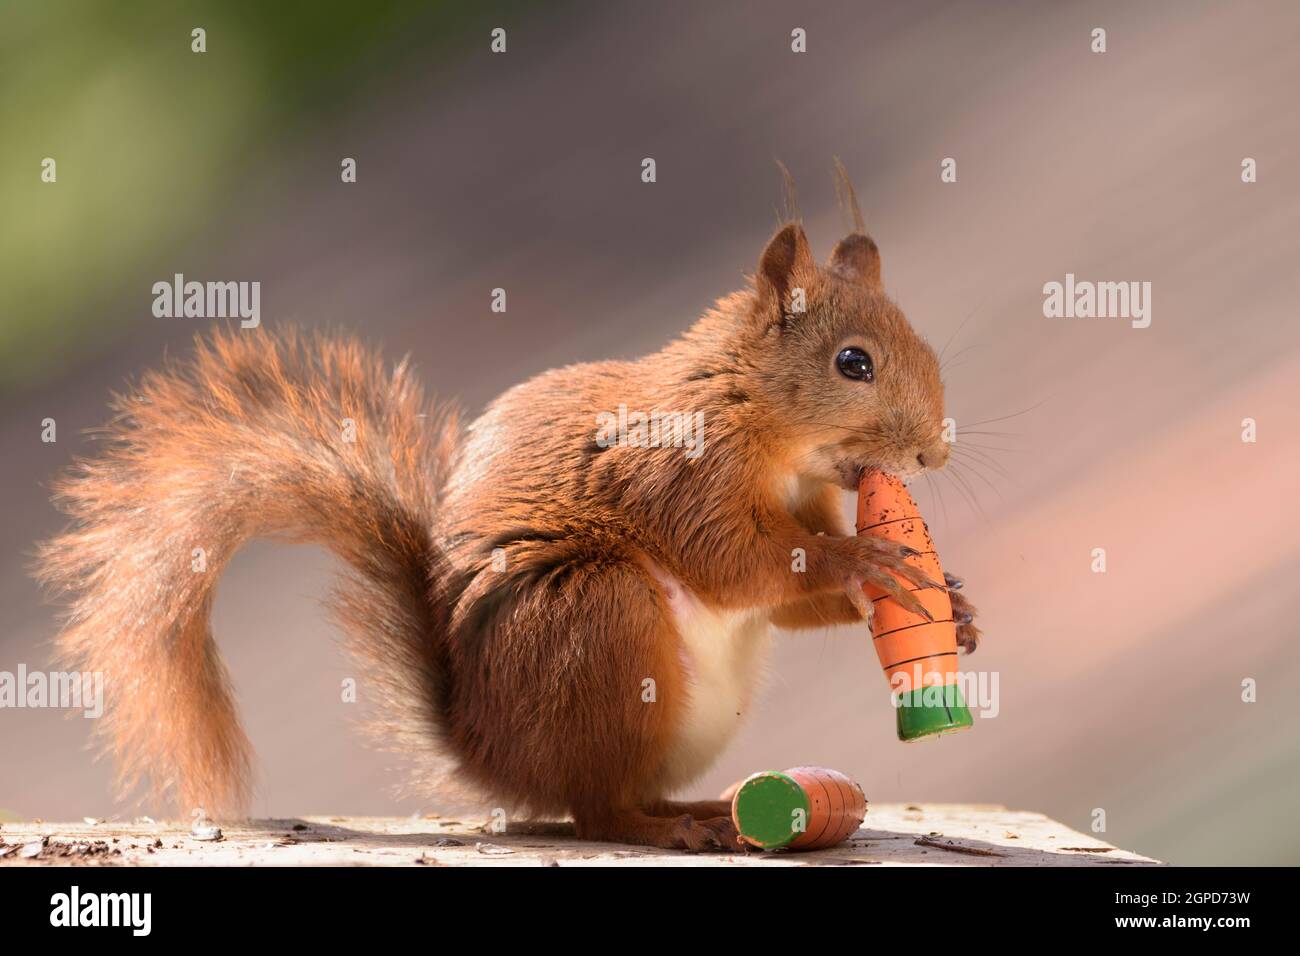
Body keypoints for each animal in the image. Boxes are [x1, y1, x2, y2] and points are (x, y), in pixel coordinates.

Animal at [37, 195, 980, 851]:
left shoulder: (803, 501)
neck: (765, 427)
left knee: (614, 794)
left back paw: (705, 807)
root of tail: (490, 754)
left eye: (927, 350)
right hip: (596, 620)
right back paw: (675, 827)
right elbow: (735, 562)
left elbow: (782, 603)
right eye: (853, 363)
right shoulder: (675, 473)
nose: (934, 453)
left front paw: (956, 605)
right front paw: (863, 561)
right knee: (598, 810)